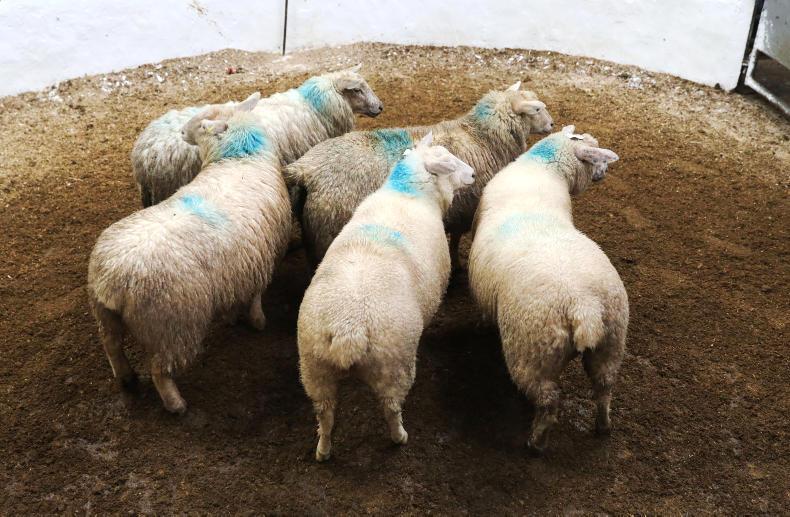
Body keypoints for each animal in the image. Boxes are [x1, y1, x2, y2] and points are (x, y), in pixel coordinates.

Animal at [88, 94, 292, 414]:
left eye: (199, 122)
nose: (182, 132)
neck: (239, 158)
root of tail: (114, 282)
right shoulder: (260, 260)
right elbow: (256, 296)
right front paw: (257, 322)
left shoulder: (240, 267)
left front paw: (232, 318)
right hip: (172, 326)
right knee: (159, 370)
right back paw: (176, 404)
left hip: (106, 316)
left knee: (112, 347)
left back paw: (127, 379)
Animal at [286, 81, 553, 269]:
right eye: (537, 109)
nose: (552, 125)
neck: (482, 136)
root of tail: (306, 169)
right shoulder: (464, 208)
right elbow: (455, 240)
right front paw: (457, 266)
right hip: (327, 228)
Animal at [297, 132, 475, 461]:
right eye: (448, 161)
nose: (473, 174)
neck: (406, 193)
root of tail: (349, 329)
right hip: (394, 364)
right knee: (391, 408)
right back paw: (399, 436)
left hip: (314, 369)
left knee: (325, 414)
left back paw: (324, 449)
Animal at [467, 125, 626, 454]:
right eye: (594, 157)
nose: (604, 173)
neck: (542, 167)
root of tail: (584, 307)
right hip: (612, 341)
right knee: (604, 387)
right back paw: (603, 425)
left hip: (532, 351)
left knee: (548, 401)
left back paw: (536, 442)